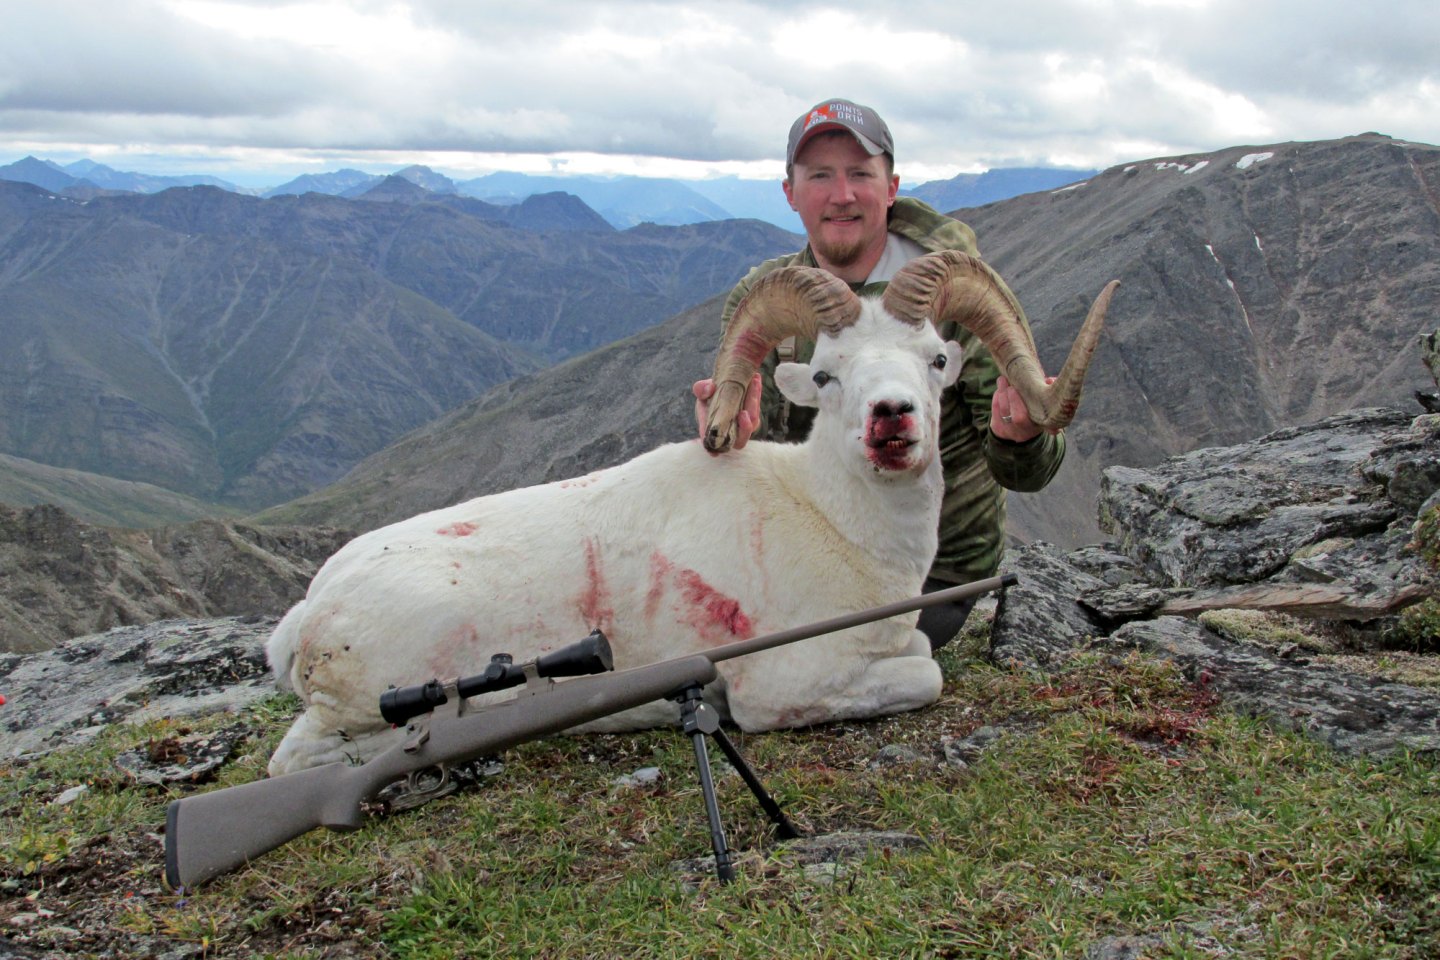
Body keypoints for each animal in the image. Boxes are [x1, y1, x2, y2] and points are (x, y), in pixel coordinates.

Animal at [266, 251, 1116, 775]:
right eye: (827, 374)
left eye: (937, 359)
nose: (892, 420)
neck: (838, 525)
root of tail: (307, 617)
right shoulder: (787, 685)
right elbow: (926, 673)